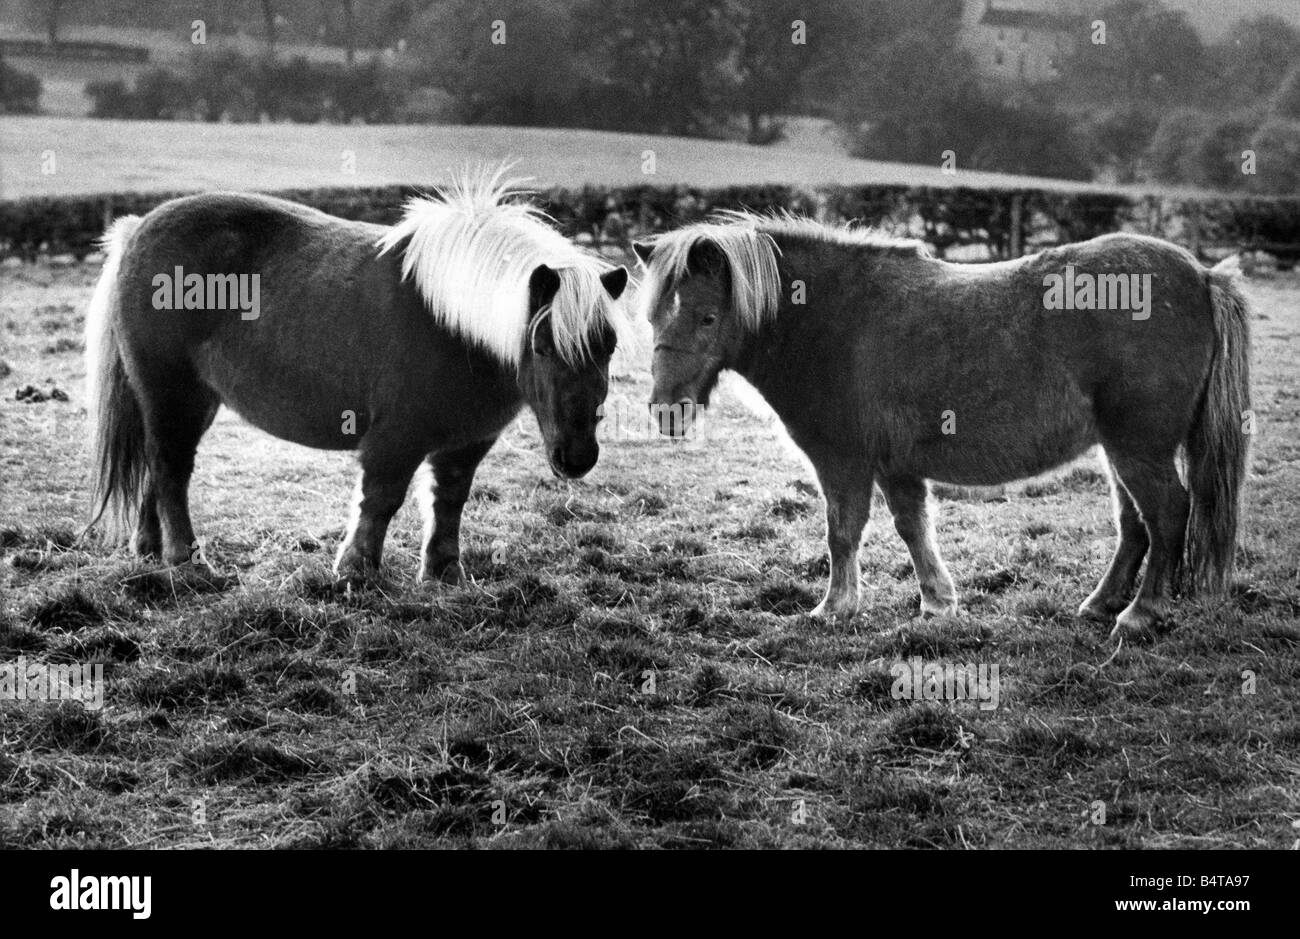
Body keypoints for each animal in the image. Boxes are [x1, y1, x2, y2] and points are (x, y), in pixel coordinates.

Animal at [85, 167, 629, 585]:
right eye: (542, 345)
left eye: (610, 346)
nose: (577, 457)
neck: (452, 322)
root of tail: (136, 230)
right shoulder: (396, 435)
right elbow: (381, 499)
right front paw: (356, 571)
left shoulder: (466, 441)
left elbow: (449, 501)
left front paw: (444, 575)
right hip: (168, 391)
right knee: (170, 468)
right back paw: (188, 563)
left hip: (194, 401)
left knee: (159, 468)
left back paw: (150, 551)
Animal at [633, 214, 1251, 637]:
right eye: (652, 316)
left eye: (708, 317)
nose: (667, 410)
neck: (831, 320)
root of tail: (1202, 275)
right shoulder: (895, 465)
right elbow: (913, 528)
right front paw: (937, 602)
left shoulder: (844, 461)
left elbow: (843, 532)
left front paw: (834, 608)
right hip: (1120, 450)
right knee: (1135, 526)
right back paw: (1101, 604)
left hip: (1138, 449)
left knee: (1166, 515)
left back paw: (1140, 613)